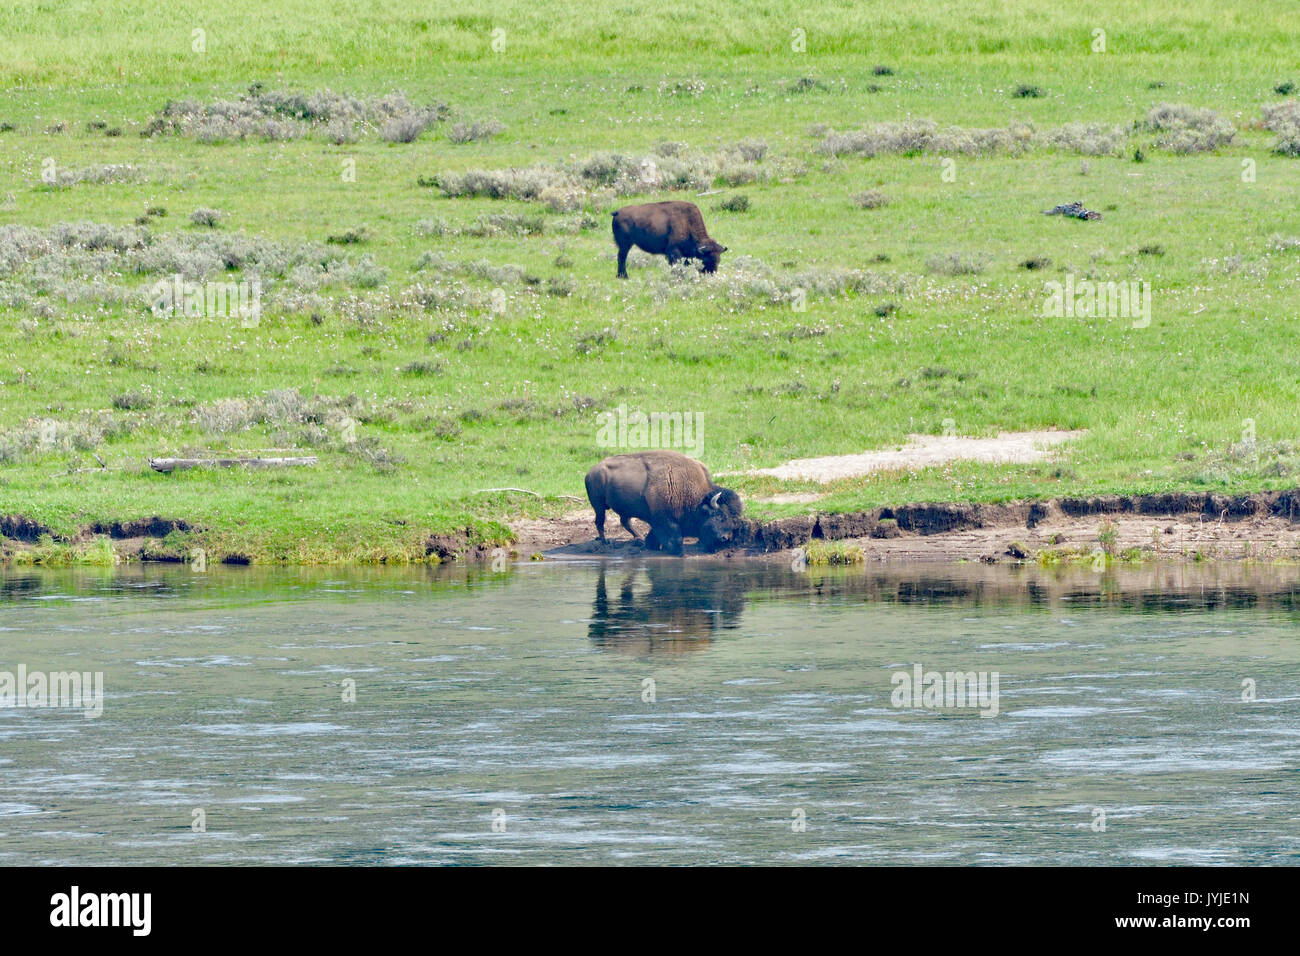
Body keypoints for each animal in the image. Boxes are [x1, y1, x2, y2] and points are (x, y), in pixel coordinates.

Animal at [584, 450, 744, 555]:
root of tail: (590, 472)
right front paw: (673, 550)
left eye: (734, 519)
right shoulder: (665, 519)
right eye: (719, 516)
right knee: (600, 522)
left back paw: (639, 539)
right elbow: (675, 539)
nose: (725, 538)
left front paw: (651, 545)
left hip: (624, 510)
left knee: (624, 522)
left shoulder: (657, 520)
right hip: (598, 506)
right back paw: (605, 542)